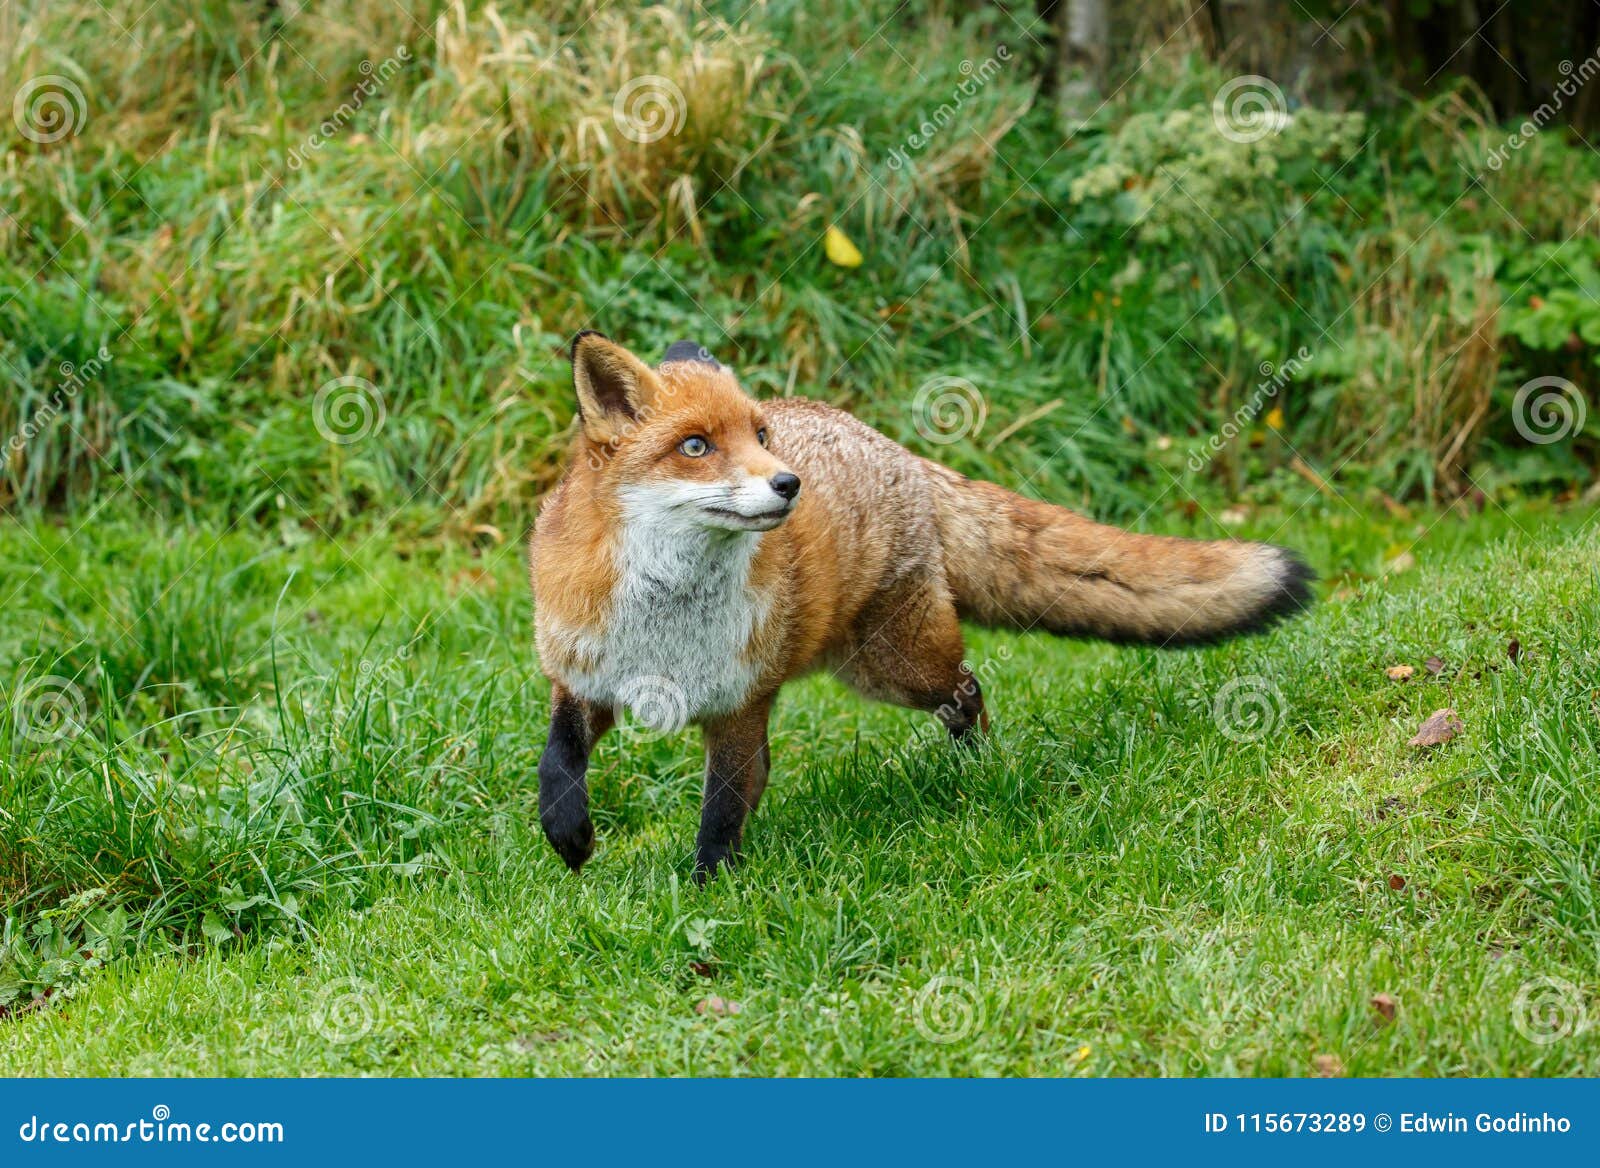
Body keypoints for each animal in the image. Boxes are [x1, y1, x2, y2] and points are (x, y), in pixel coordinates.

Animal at [530, 332, 1314, 881]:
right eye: (695, 446)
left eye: (758, 435)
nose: (789, 483)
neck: (664, 619)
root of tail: (896, 450)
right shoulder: (585, 673)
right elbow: (557, 761)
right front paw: (569, 836)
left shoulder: (737, 701)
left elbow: (720, 813)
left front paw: (708, 891)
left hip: (893, 664)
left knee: (967, 691)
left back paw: (980, 775)